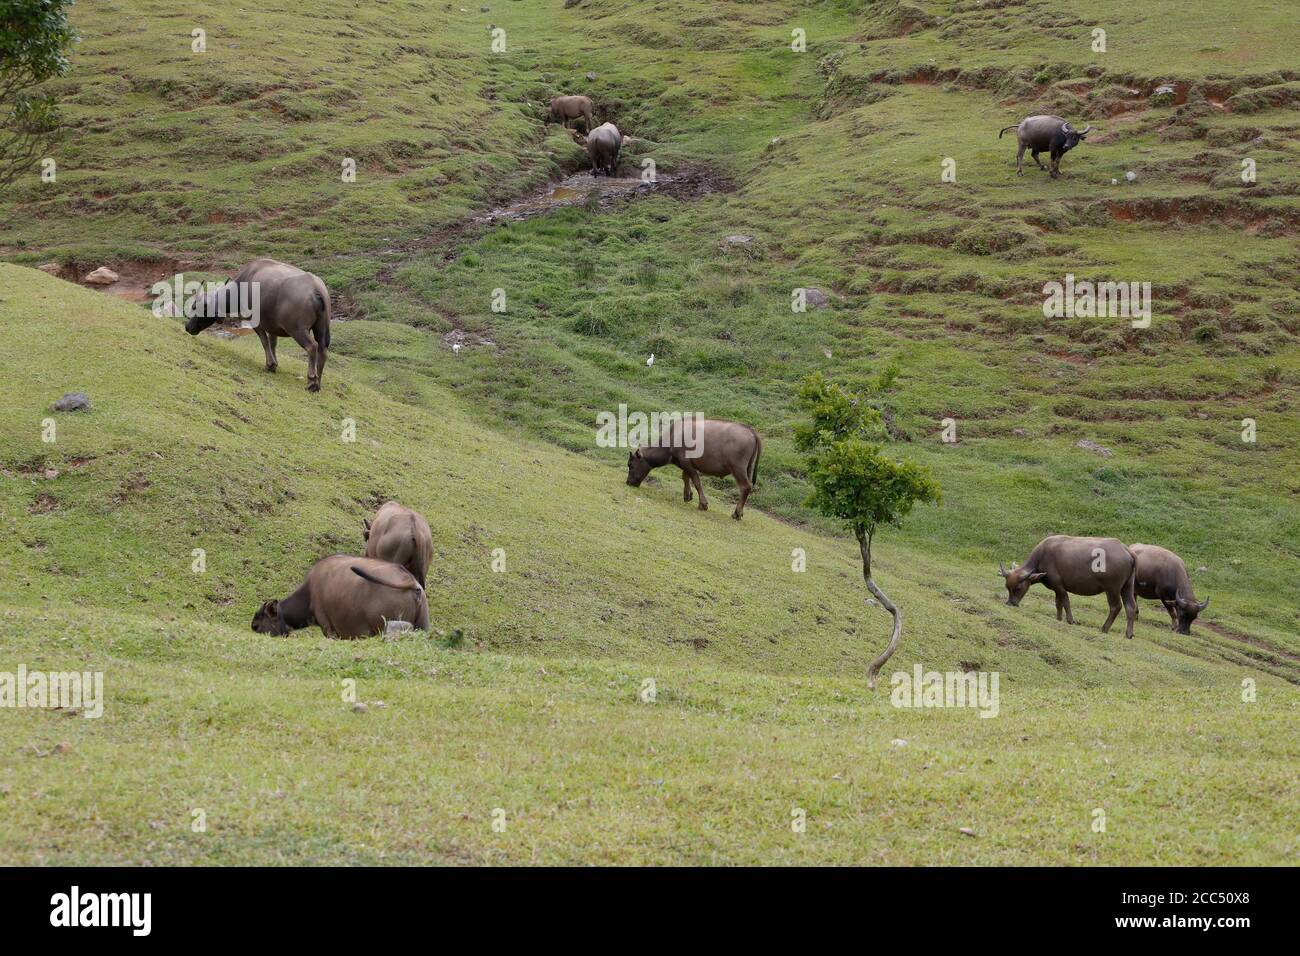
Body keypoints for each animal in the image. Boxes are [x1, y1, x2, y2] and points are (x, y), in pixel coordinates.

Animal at [185, 258, 331, 392]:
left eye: (198, 308)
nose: (188, 327)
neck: (242, 285)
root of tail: (316, 289)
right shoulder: (273, 326)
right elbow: (273, 344)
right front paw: (274, 364)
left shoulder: (256, 322)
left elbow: (264, 341)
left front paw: (270, 365)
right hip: (321, 329)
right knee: (323, 350)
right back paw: (318, 381)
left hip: (297, 330)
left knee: (312, 347)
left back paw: (311, 381)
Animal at [626, 418, 761, 520]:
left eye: (630, 465)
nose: (628, 482)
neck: (673, 438)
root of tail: (750, 430)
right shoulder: (685, 464)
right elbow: (685, 477)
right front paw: (687, 495)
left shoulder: (687, 463)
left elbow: (696, 481)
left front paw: (703, 504)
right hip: (748, 468)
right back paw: (740, 512)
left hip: (737, 468)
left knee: (745, 486)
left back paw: (736, 513)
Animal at [999, 535, 1137, 639]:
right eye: (1007, 587)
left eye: (1018, 588)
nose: (1010, 603)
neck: (1043, 556)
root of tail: (1127, 550)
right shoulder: (1056, 589)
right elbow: (1058, 603)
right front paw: (1058, 618)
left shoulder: (1060, 587)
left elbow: (1065, 602)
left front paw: (1071, 620)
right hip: (1127, 587)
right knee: (1131, 607)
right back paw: (1128, 634)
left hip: (1112, 589)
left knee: (1116, 607)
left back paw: (1104, 628)